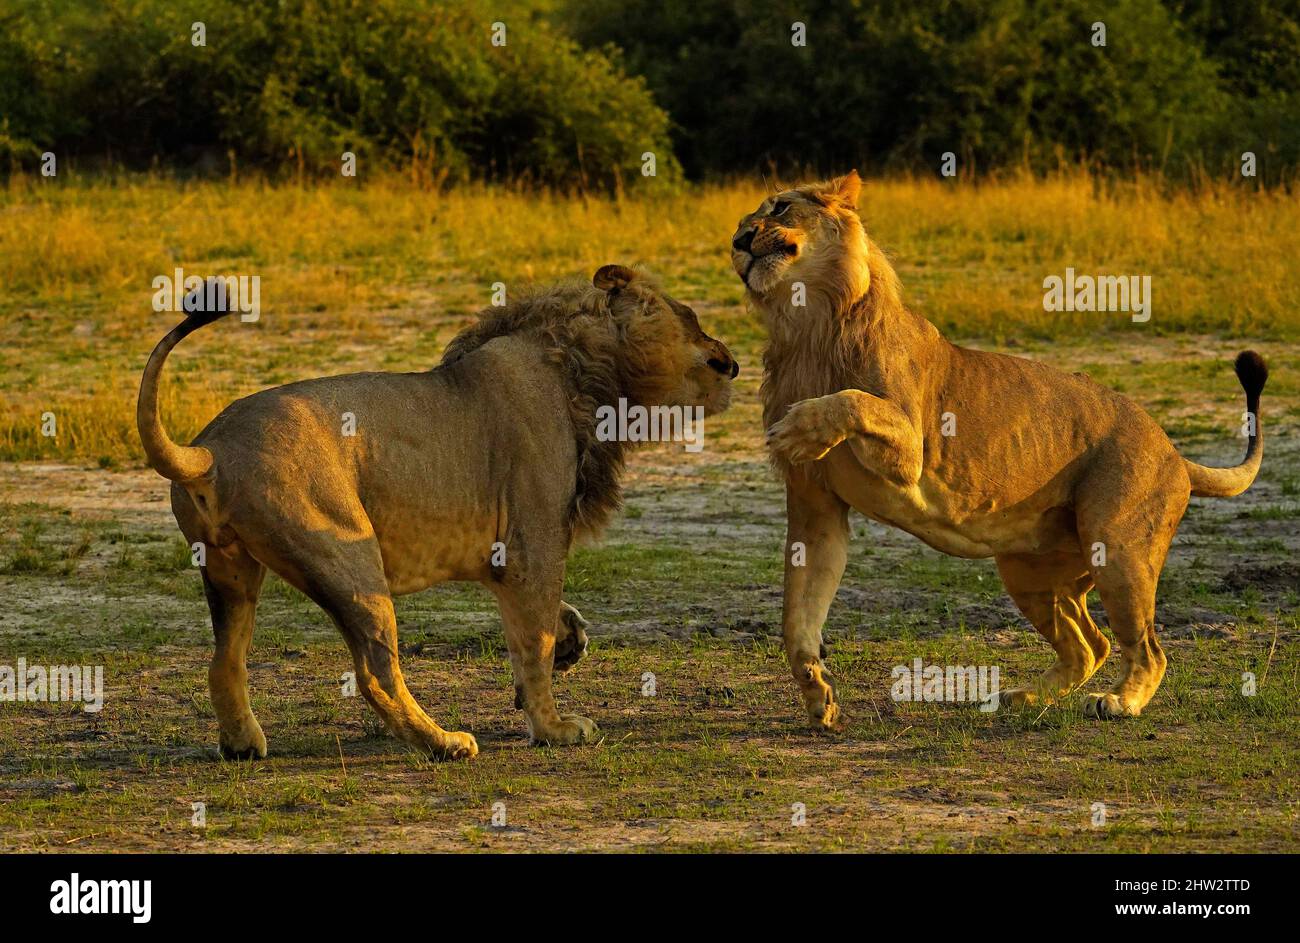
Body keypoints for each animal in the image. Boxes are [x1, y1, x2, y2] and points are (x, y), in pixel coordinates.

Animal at [136, 265, 737, 760]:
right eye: (690, 316)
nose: (731, 363)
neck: (587, 367)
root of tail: (211, 452)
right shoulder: (534, 541)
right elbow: (534, 640)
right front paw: (555, 728)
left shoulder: (508, 556)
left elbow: (547, 623)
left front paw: (569, 646)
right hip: (349, 560)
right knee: (375, 673)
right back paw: (445, 743)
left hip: (230, 571)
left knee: (224, 663)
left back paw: (242, 745)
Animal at [731, 170, 1267, 726]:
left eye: (780, 208)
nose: (739, 240)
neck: (807, 326)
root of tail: (1175, 452)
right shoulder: (817, 506)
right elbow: (798, 616)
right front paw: (817, 694)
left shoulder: (909, 453)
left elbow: (853, 401)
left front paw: (797, 428)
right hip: (1027, 571)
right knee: (1089, 645)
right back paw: (1021, 697)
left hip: (1117, 551)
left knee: (1148, 649)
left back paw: (1120, 701)